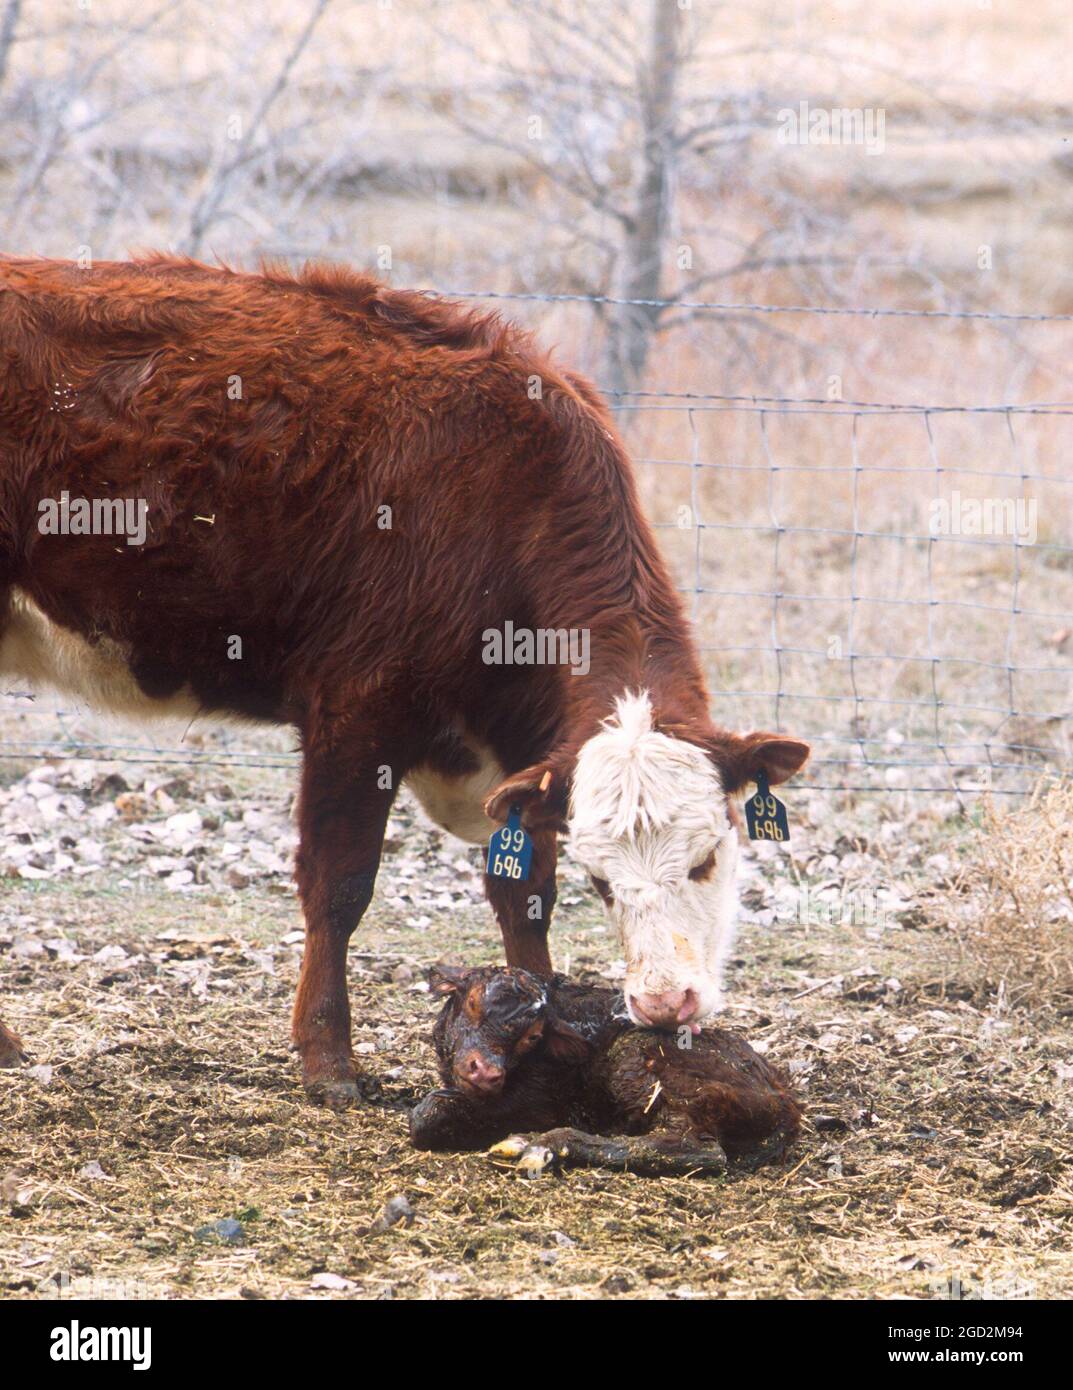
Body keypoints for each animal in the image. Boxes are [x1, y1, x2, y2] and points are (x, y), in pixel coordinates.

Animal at [0, 255, 808, 1103]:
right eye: (604, 878)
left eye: (706, 856)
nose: (662, 1002)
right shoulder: (357, 714)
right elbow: (339, 886)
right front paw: (328, 1060)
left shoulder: (523, 764)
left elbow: (523, 899)